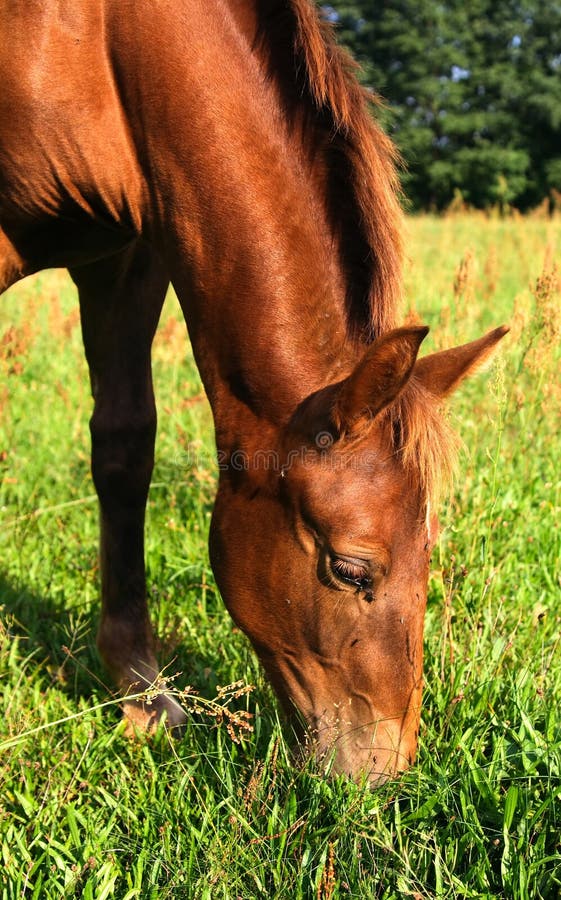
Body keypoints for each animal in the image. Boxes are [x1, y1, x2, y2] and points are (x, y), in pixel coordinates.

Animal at [0, 0, 507, 784]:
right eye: (349, 568)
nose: (383, 771)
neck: (101, 43)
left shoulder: (129, 255)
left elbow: (124, 449)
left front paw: (141, 692)